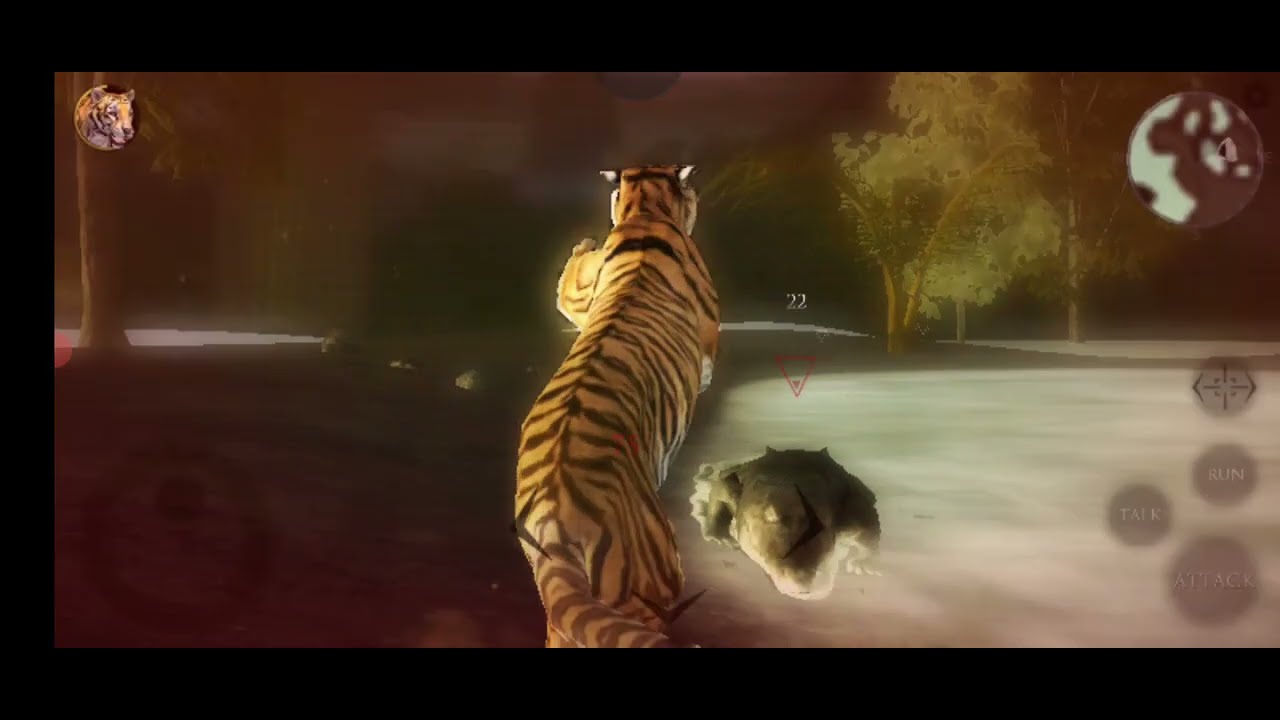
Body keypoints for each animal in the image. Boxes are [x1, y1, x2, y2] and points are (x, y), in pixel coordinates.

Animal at [514, 164, 720, 648]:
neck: (644, 211)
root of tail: (553, 523)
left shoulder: (578, 295)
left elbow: (568, 280)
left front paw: (583, 245)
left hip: (561, 596)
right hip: (655, 574)